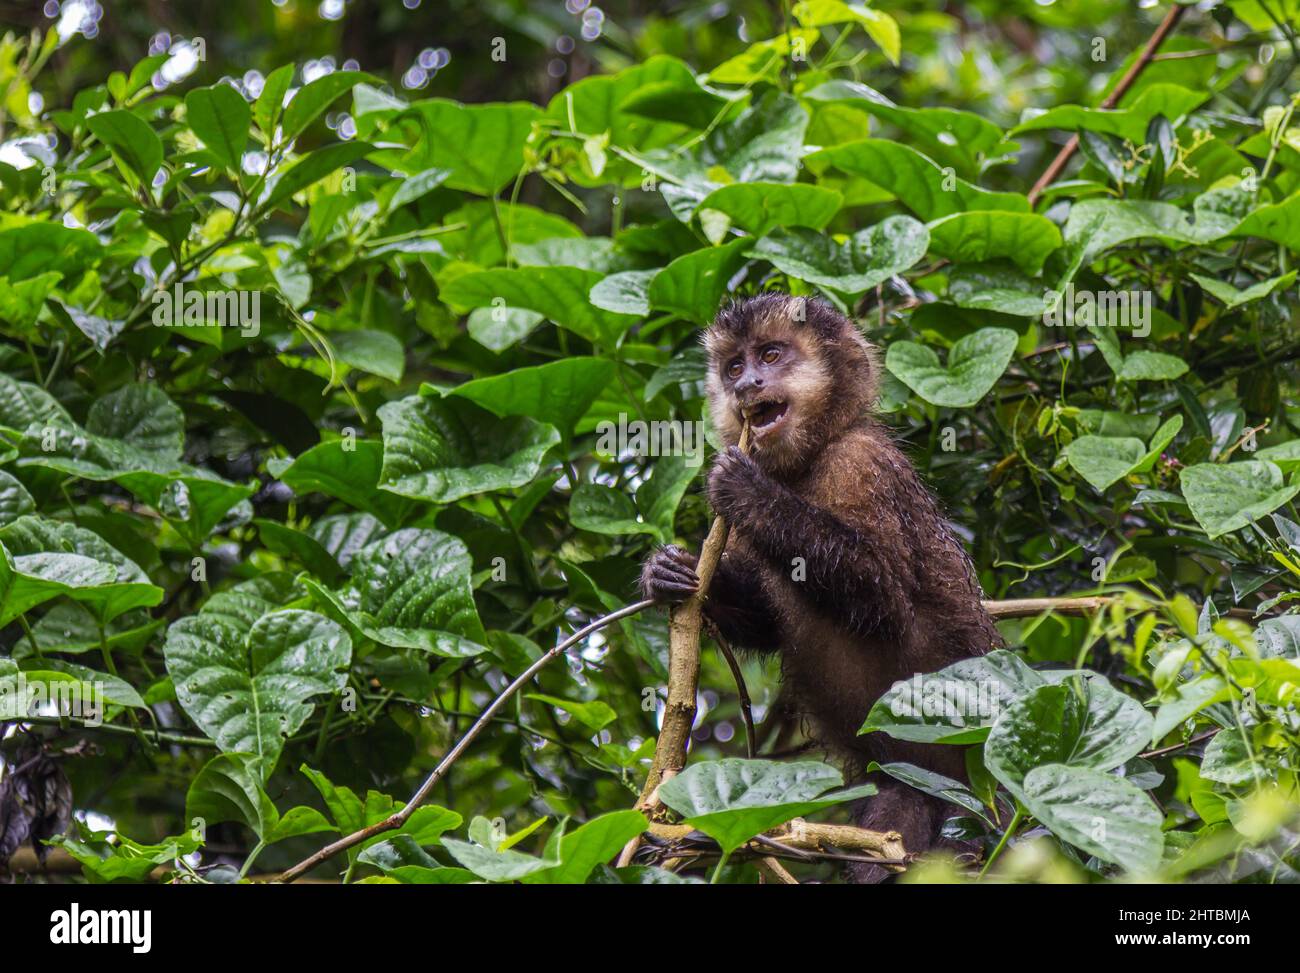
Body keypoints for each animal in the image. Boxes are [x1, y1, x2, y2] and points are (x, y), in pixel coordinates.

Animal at [640, 293, 1001, 882]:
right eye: (733, 366)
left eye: (770, 354)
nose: (746, 386)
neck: (808, 460)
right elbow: (767, 625)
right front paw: (670, 570)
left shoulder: (861, 463)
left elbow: (883, 599)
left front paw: (749, 491)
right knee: (898, 811)